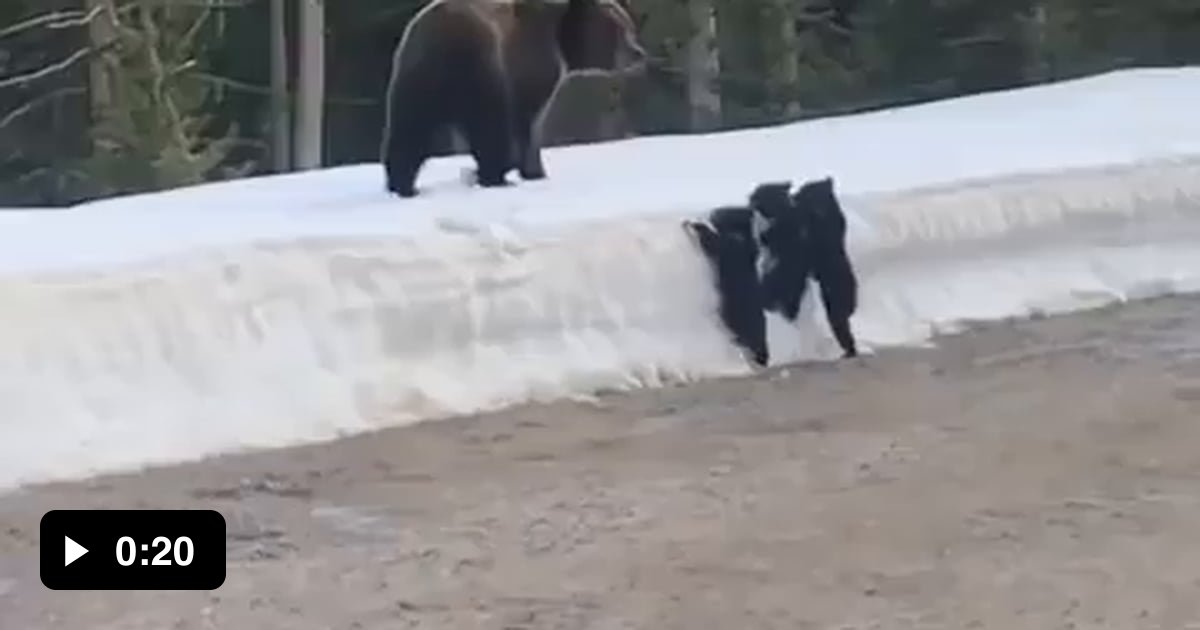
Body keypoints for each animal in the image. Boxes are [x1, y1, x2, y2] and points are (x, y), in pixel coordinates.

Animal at [380, 0, 647, 197]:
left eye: (629, 26)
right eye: (620, 27)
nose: (639, 53)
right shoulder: (529, 68)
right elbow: (528, 123)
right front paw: (534, 171)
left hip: (413, 79)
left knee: (408, 134)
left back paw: (403, 186)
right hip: (480, 68)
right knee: (490, 128)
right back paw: (494, 177)